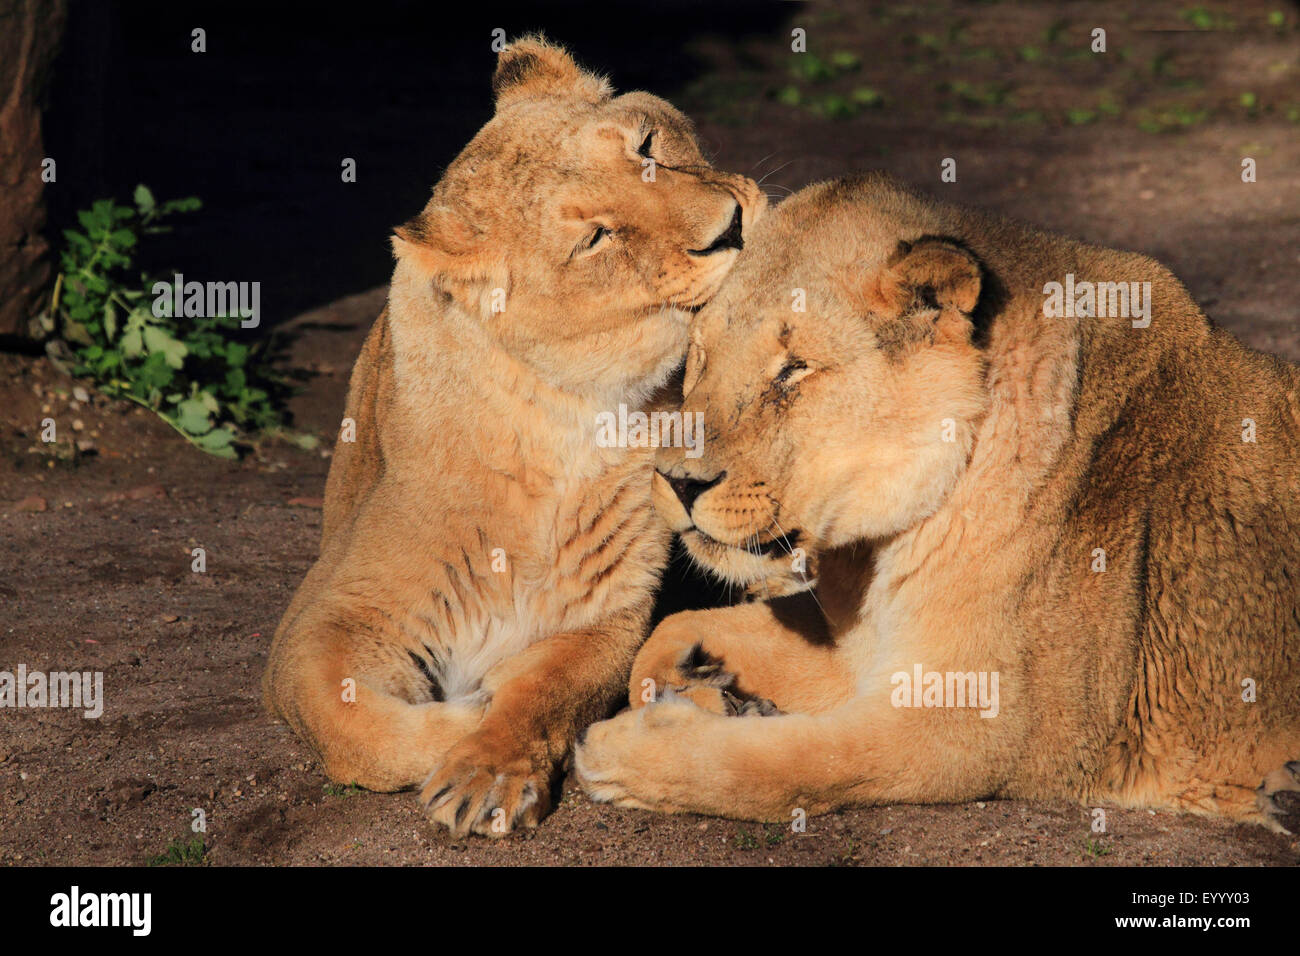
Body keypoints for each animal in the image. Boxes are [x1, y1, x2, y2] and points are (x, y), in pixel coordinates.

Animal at [262, 35, 764, 837]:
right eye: (594, 238)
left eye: (648, 146)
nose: (733, 227)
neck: (554, 415)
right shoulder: (328, 610)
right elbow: (348, 726)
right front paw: (466, 723)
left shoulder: (607, 610)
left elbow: (543, 691)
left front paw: (489, 770)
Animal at [575, 172, 1300, 835]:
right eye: (699, 357)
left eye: (794, 369)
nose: (676, 482)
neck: (879, 554)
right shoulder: (863, 652)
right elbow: (665, 634)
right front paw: (708, 684)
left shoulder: (980, 729)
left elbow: (790, 765)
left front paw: (627, 749)